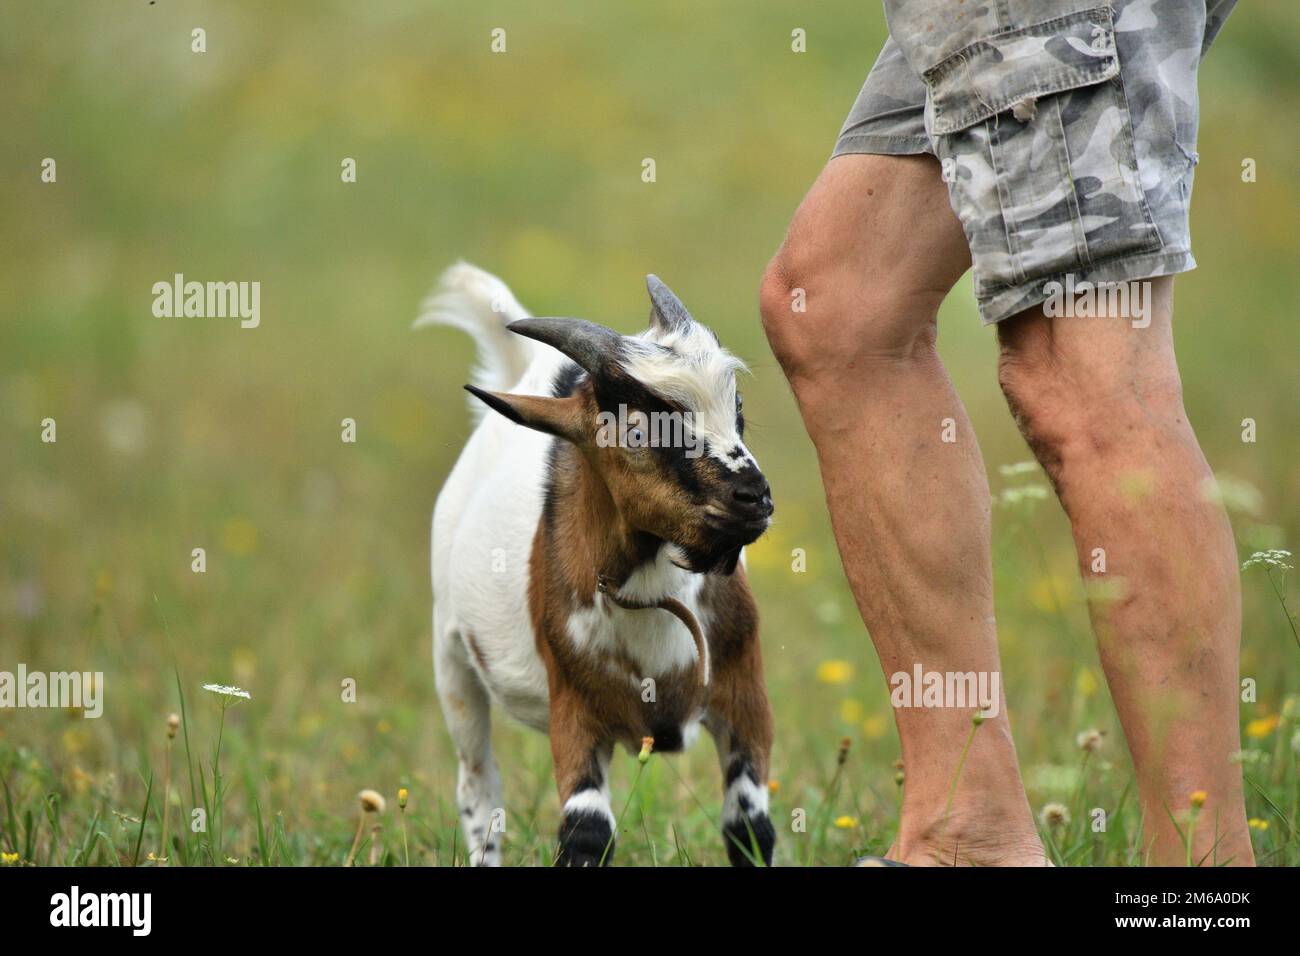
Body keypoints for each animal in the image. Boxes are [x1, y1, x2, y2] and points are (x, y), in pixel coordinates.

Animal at [419, 263, 776, 867]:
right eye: (635, 431)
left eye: (739, 412)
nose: (754, 497)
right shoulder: (574, 707)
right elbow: (586, 832)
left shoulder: (744, 691)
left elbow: (749, 827)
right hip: (451, 660)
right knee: (479, 792)